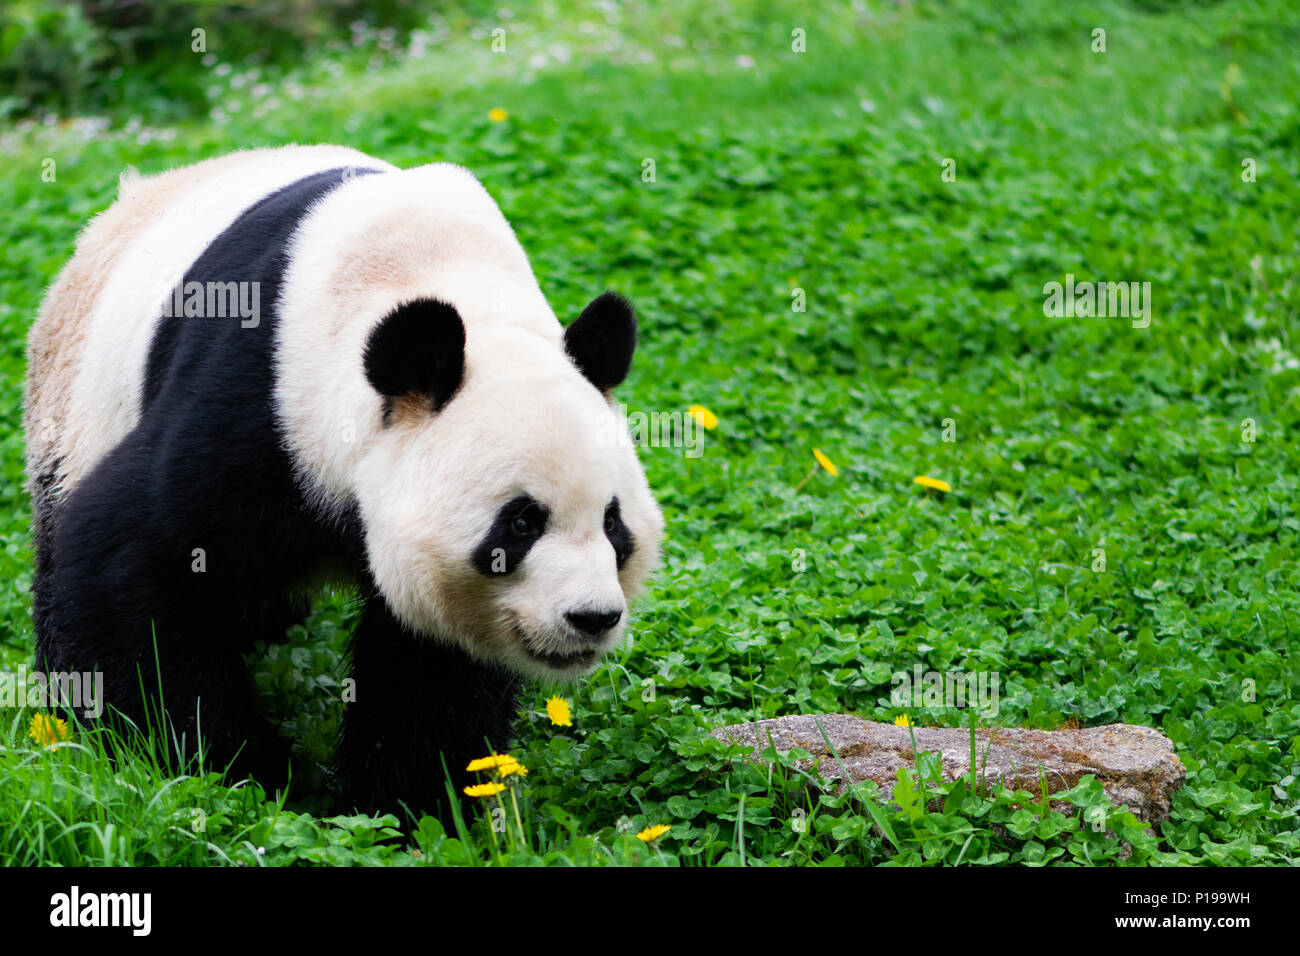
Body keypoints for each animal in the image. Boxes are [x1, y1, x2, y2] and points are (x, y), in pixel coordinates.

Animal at [24, 144, 664, 819]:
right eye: (520, 522)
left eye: (613, 525)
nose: (592, 617)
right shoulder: (261, 405)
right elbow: (126, 554)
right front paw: (243, 770)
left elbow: (428, 670)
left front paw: (411, 804)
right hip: (72, 402)